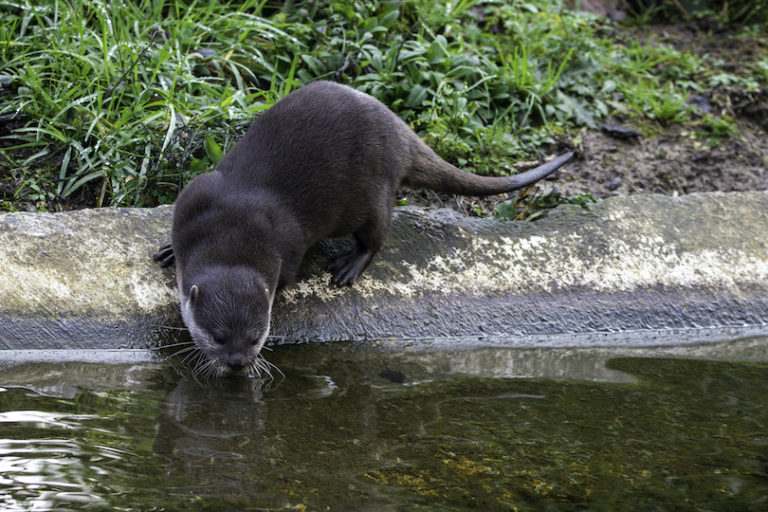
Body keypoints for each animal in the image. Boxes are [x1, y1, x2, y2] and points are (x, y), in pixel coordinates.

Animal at [154, 81, 573, 377]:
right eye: (218, 337)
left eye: (256, 338)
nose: (239, 362)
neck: (231, 229)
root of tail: (400, 130)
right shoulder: (193, 197)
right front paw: (169, 251)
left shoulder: (286, 249)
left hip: (373, 191)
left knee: (377, 232)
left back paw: (349, 265)